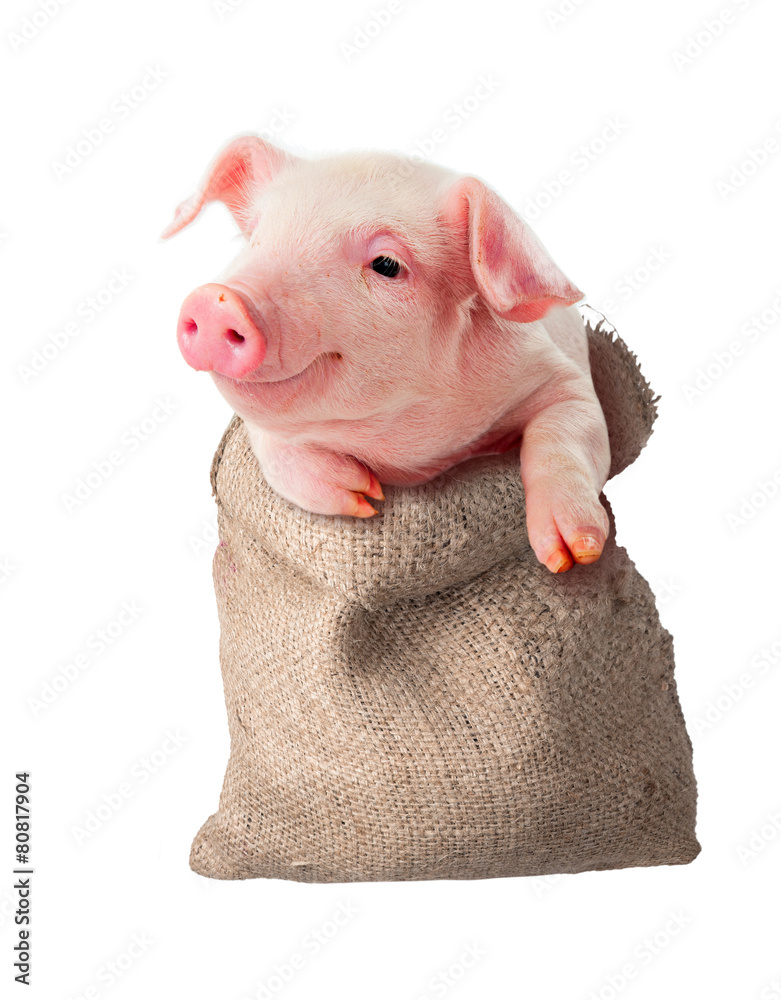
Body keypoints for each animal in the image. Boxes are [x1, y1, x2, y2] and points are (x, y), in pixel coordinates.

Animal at [162, 135, 611, 574]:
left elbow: (567, 431)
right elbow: (274, 444)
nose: (217, 300)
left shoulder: (557, 374)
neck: (409, 456)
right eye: (255, 237)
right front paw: (364, 497)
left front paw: (574, 556)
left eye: (387, 264)